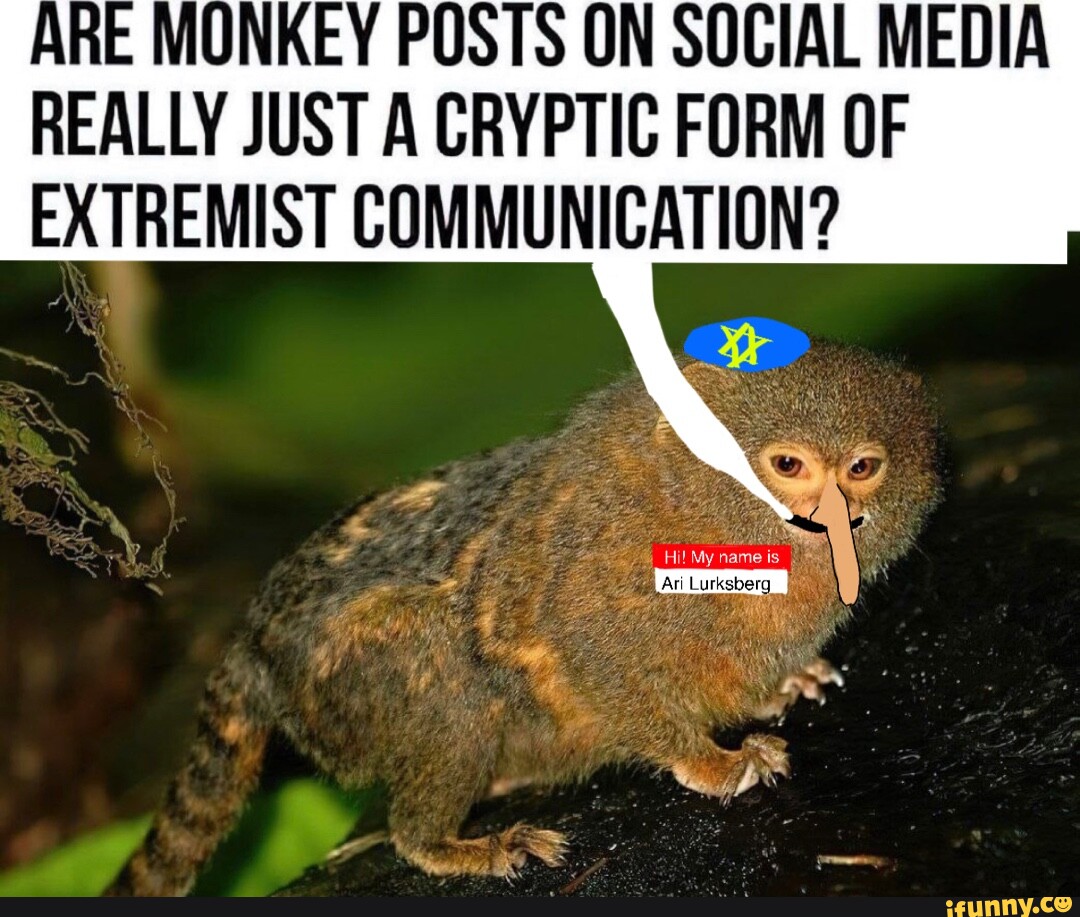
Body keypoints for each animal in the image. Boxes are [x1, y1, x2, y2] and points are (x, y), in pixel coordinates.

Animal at [105, 340, 942, 895]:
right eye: (789, 465)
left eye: (862, 466)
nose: (834, 508)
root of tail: (253, 645)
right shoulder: (607, 587)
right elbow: (600, 663)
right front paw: (714, 762)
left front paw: (779, 684)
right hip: (349, 682)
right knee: (444, 676)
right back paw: (446, 841)